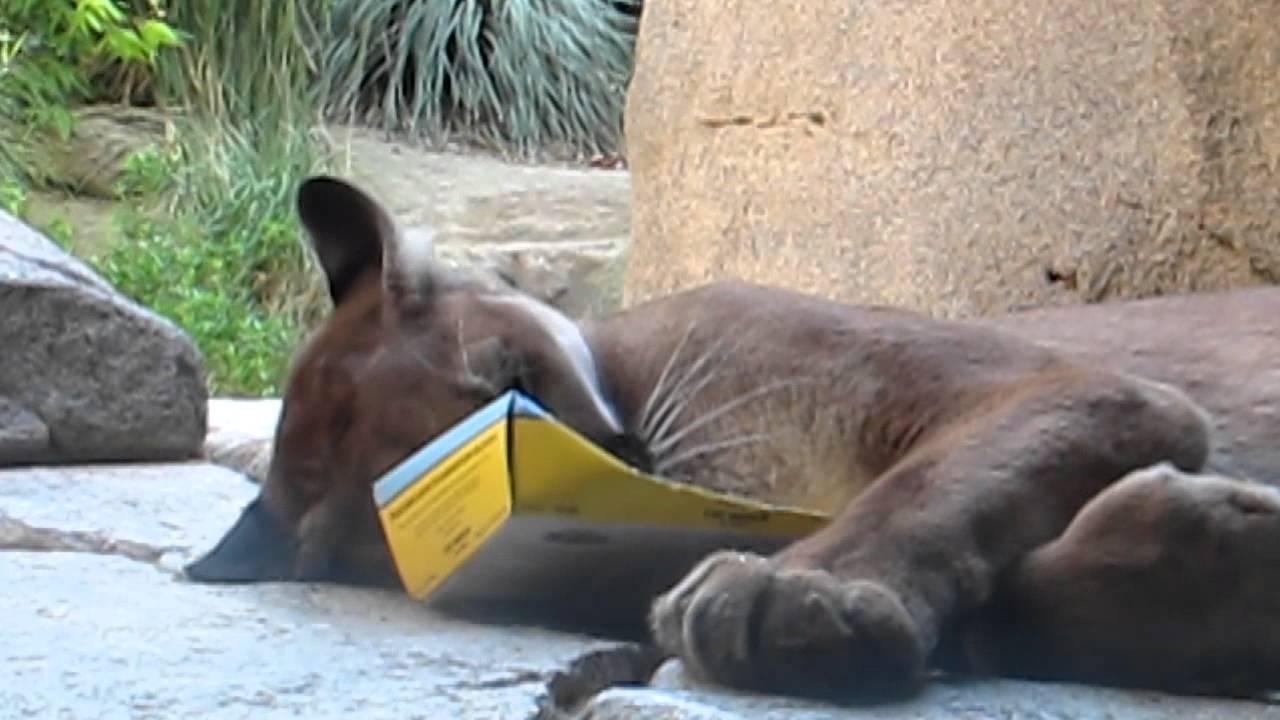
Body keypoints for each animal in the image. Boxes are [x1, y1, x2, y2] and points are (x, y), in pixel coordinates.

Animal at [186, 175, 1280, 703]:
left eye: (511, 380)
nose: (623, 458)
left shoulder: (1070, 388)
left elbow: (926, 484)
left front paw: (795, 594)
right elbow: (1006, 604)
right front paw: (1217, 559)